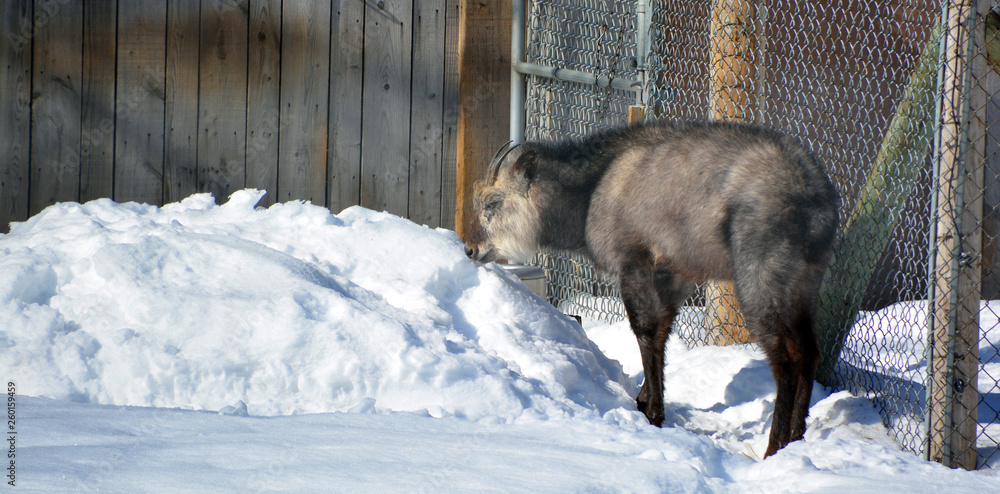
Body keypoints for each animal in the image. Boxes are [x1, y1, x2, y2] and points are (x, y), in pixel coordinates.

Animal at [464, 120, 840, 457]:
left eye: (492, 204)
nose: (470, 249)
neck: (595, 189)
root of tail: (812, 195)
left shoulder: (635, 262)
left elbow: (644, 330)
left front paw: (655, 413)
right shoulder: (676, 273)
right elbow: (660, 332)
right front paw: (645, 400)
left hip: (760, 282)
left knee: (786, 359)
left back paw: (775, 446)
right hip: (803, 288)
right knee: (810, 352)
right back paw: (797, 436)